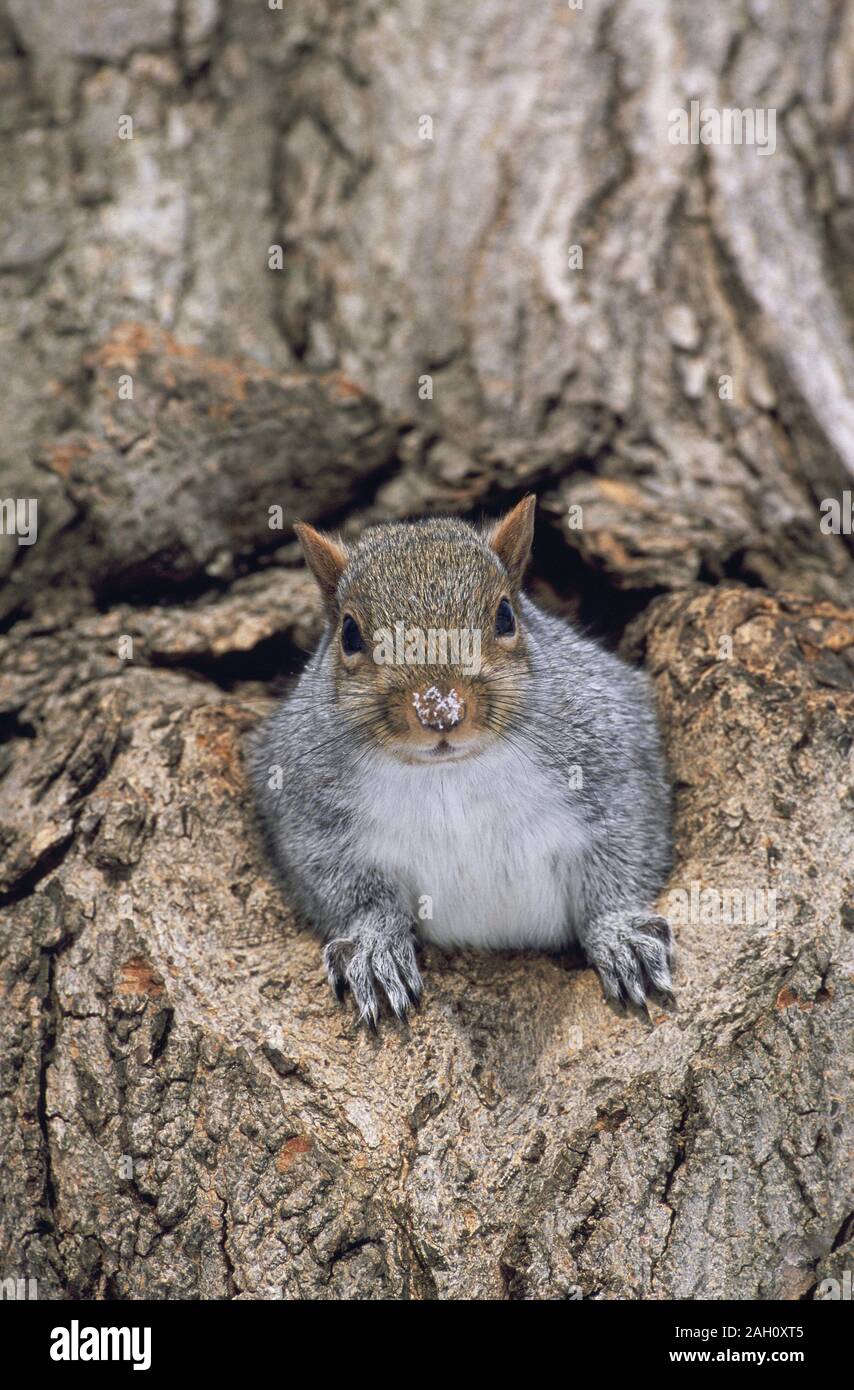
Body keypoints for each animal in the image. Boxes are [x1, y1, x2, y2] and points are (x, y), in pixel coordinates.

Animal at [249, 495, 673, 1026]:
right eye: (349, 633)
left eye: (506, 615)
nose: (440, 712)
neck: (450, 773)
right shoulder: (307, 813)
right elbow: (347, 889)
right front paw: (373, 946)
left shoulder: (616, 758)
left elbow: (621, 853)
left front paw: (620, 933)